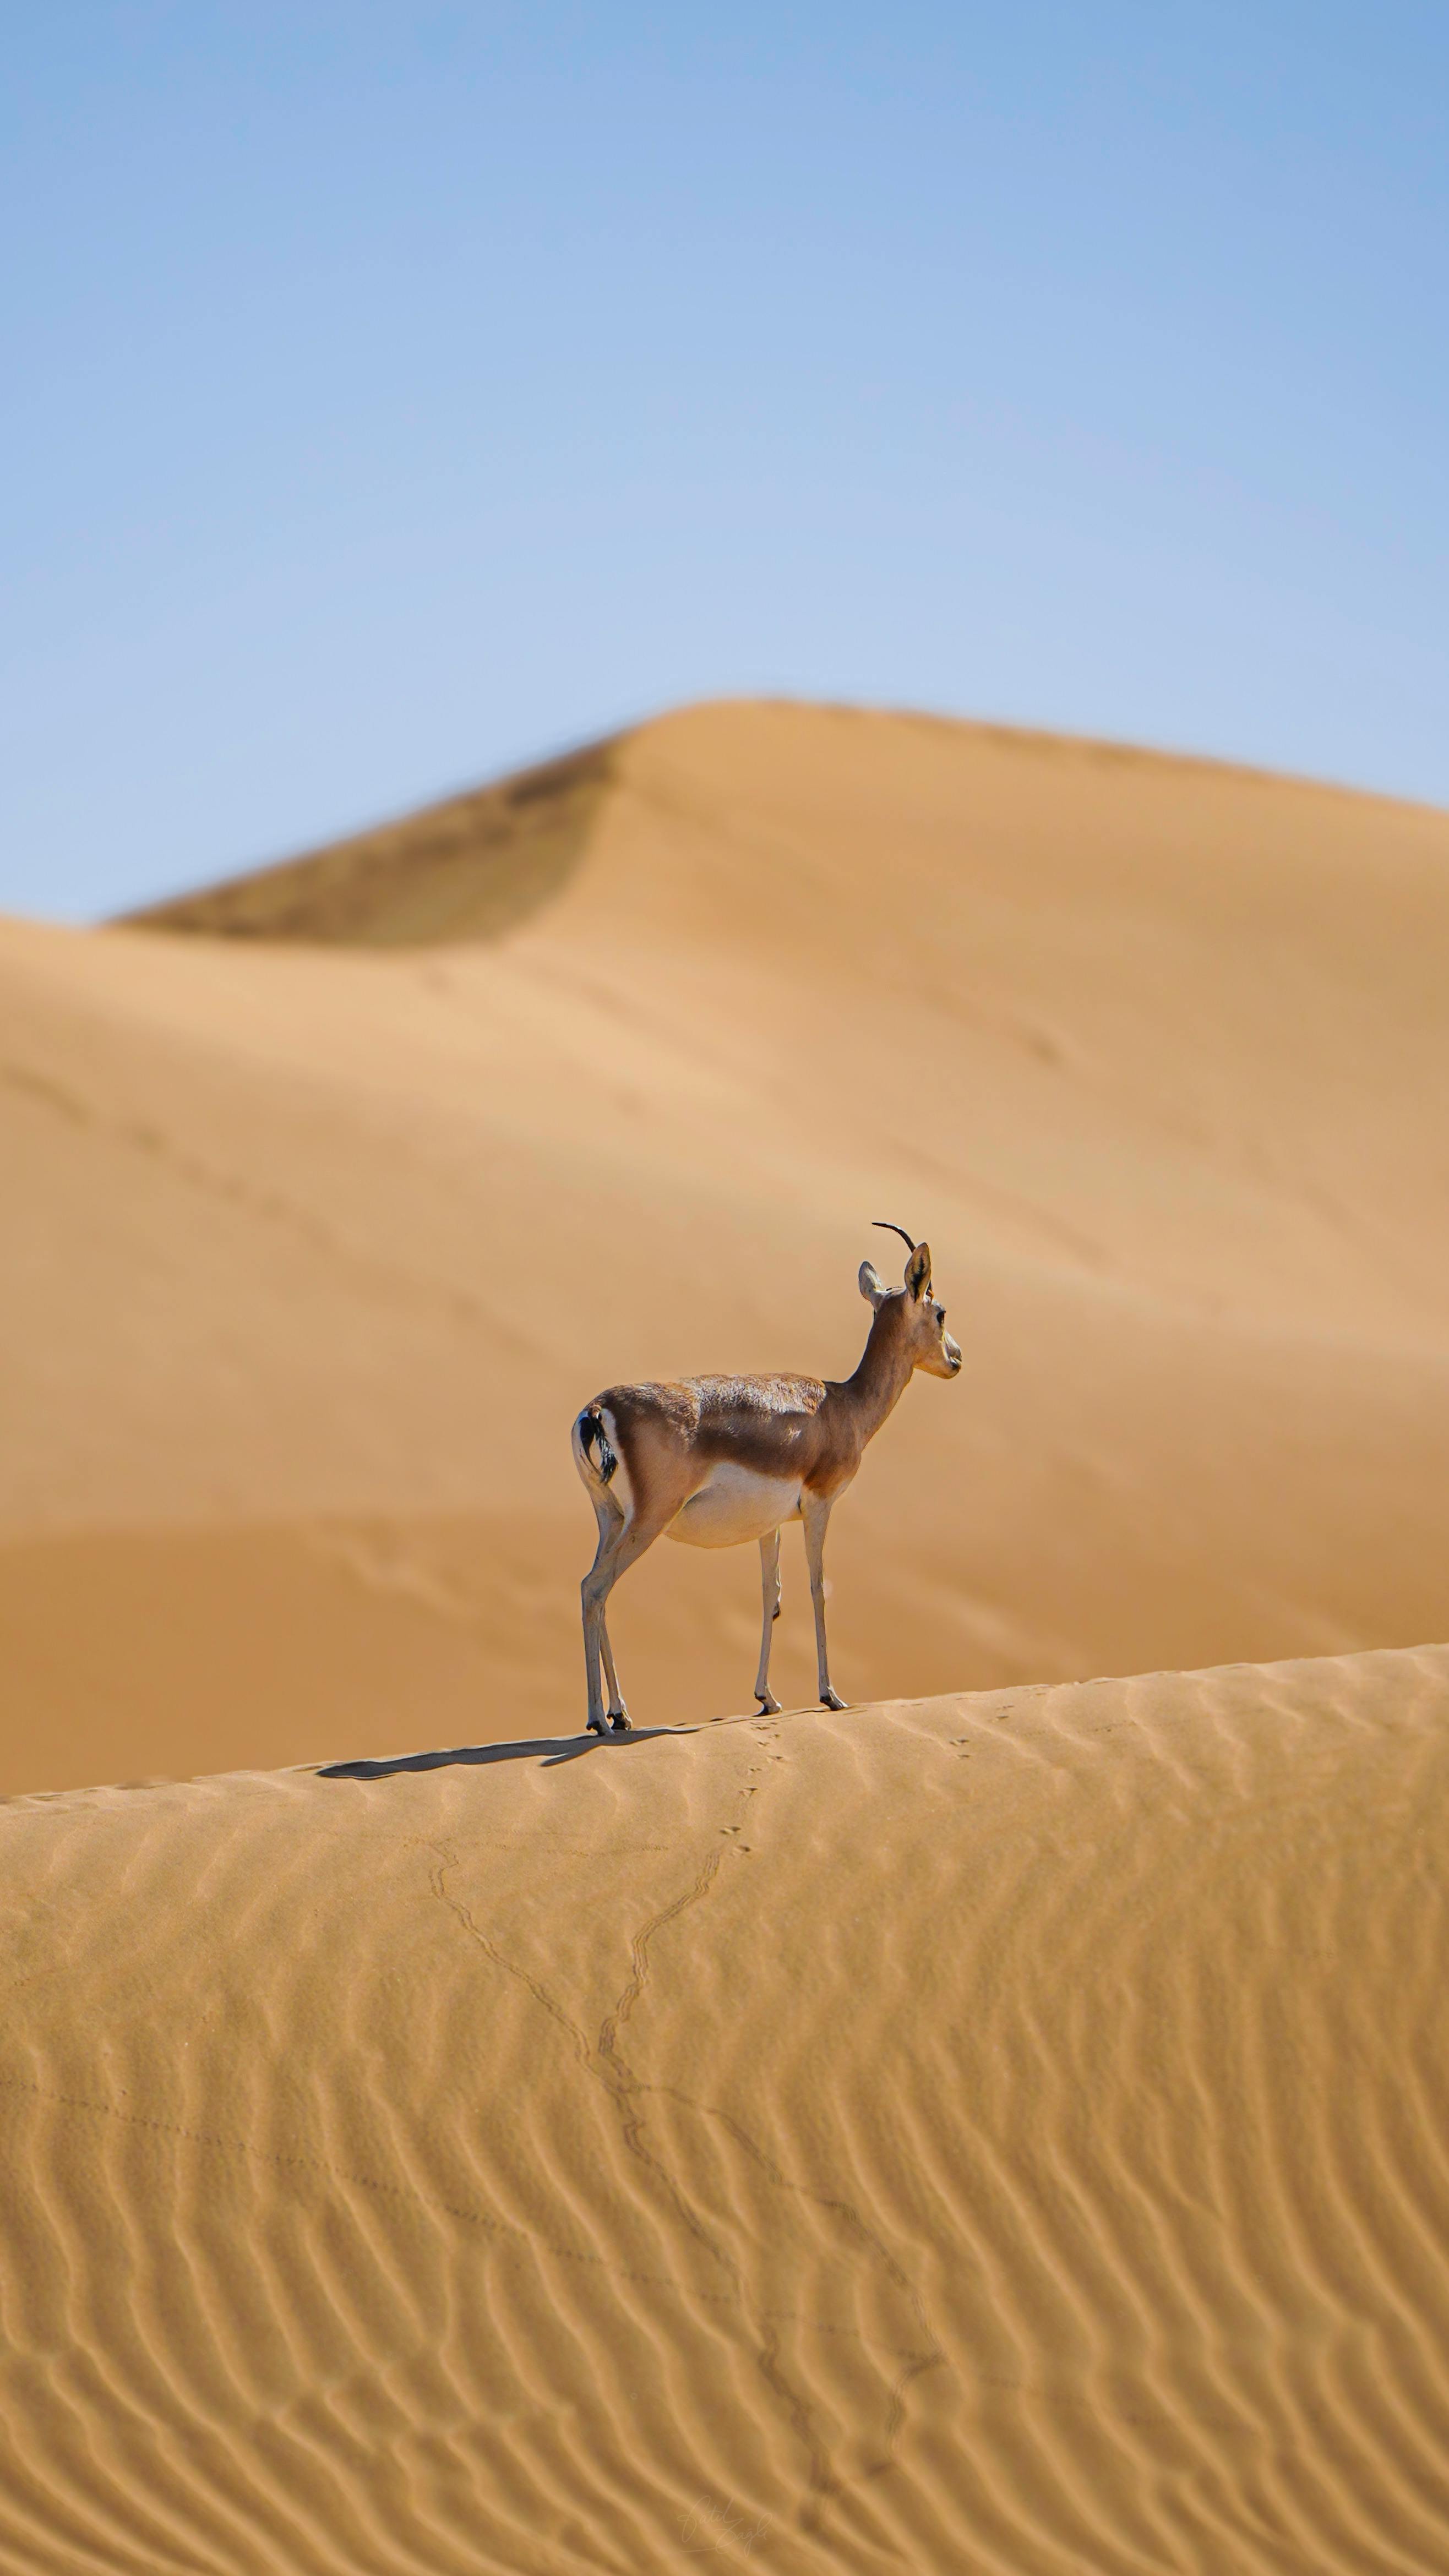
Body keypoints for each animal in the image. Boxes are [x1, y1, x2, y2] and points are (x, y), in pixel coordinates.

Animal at [571, 1225, 962, 1735]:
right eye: (940, 1311)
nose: (957, 1358)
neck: (843, 1407)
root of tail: (598, 1409)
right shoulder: (820, 1506)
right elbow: (818, 1589)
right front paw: (830, 1695)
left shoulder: (769, 1526)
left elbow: (770, 1596)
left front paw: (767, 1699)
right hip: (648, 1521)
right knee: (594, 1588)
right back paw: (599, 1718)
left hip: (611, 1519)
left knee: (599, 1591)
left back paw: (622, 1713)